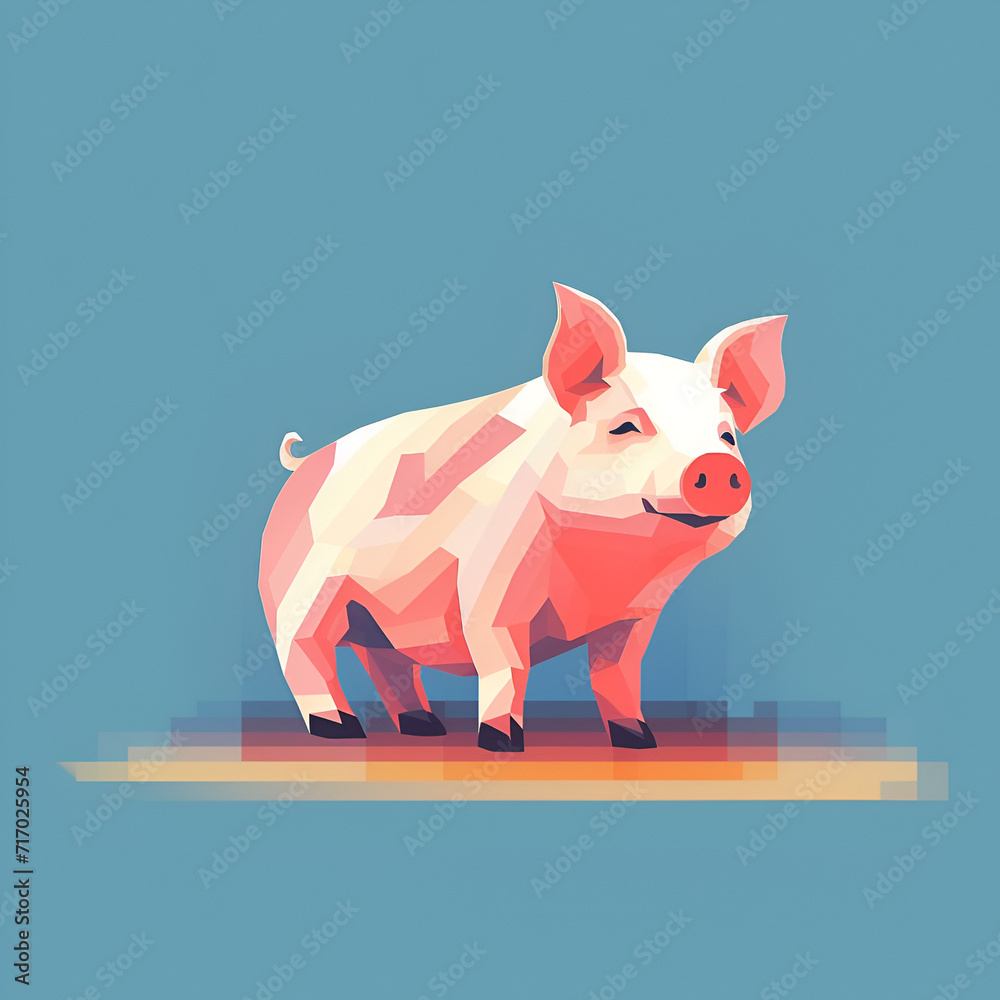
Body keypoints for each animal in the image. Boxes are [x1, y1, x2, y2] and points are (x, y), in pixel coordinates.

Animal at [259, 283, 786, 752]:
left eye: (727, 436)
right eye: (626, 426)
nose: (716, 466)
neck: (605, 569)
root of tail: (301, 466)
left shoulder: (637, 614)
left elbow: (617, 672)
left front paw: (640, 740)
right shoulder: (490, 578)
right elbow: (506, 661)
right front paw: (503, 744)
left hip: (374, 614)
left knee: (386, 662)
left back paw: (425, 728)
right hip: (301, 593)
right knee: (303, 650)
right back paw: (340, 729)